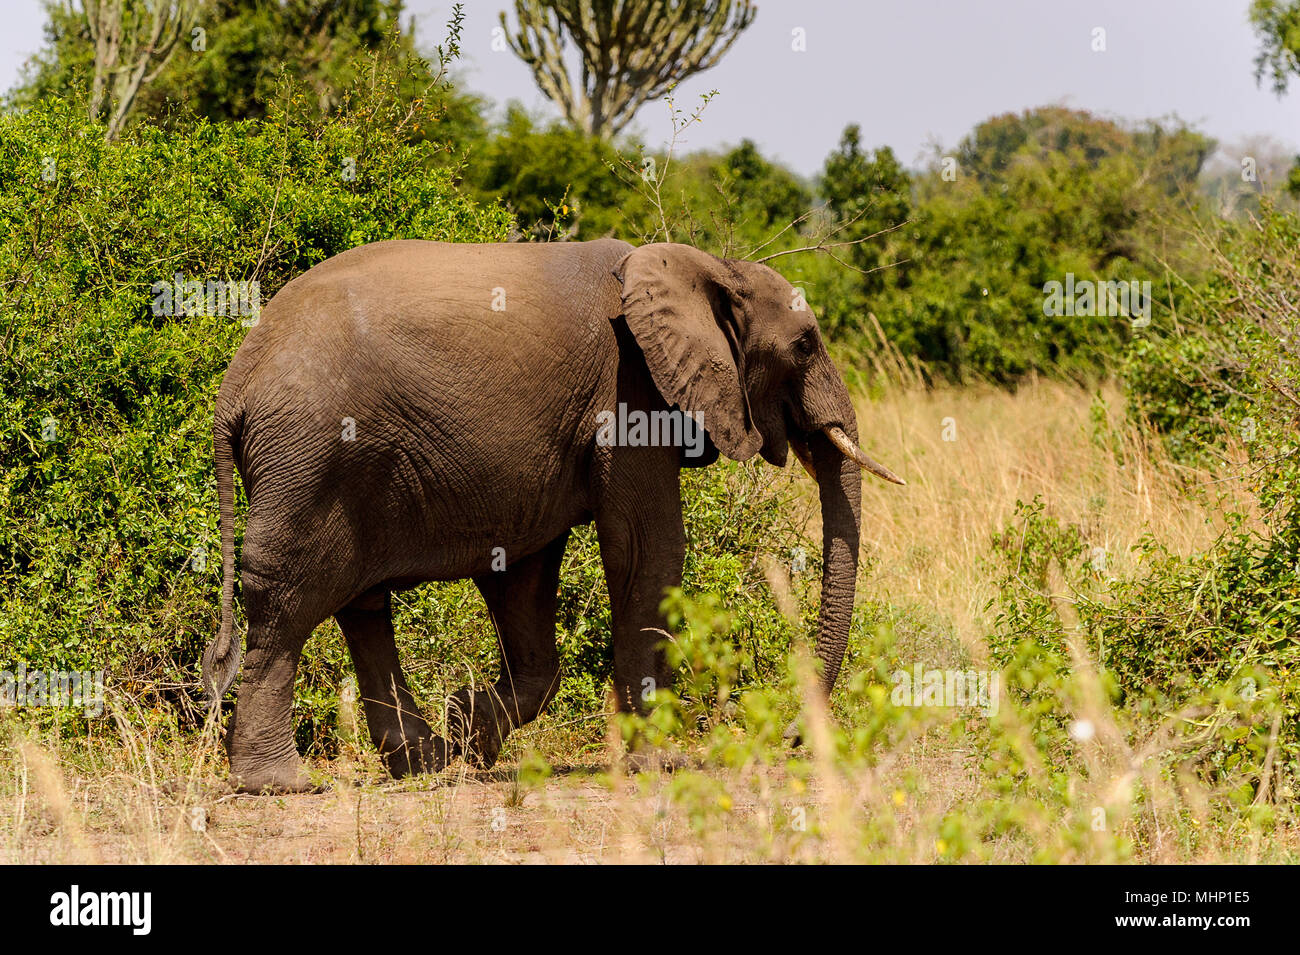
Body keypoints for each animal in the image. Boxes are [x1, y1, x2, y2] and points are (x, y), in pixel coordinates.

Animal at [201, 238, 903, 793]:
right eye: (805, 344)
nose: (789, 738)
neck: (706, 267)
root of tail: (235, 385)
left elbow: (526, 576)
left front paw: (469, 732)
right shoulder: (630, 392)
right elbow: (647, 549)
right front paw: (653, 763)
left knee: (360, 606)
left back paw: (424, 762)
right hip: (310, 459)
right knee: (288, 605)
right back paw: (280, 783)